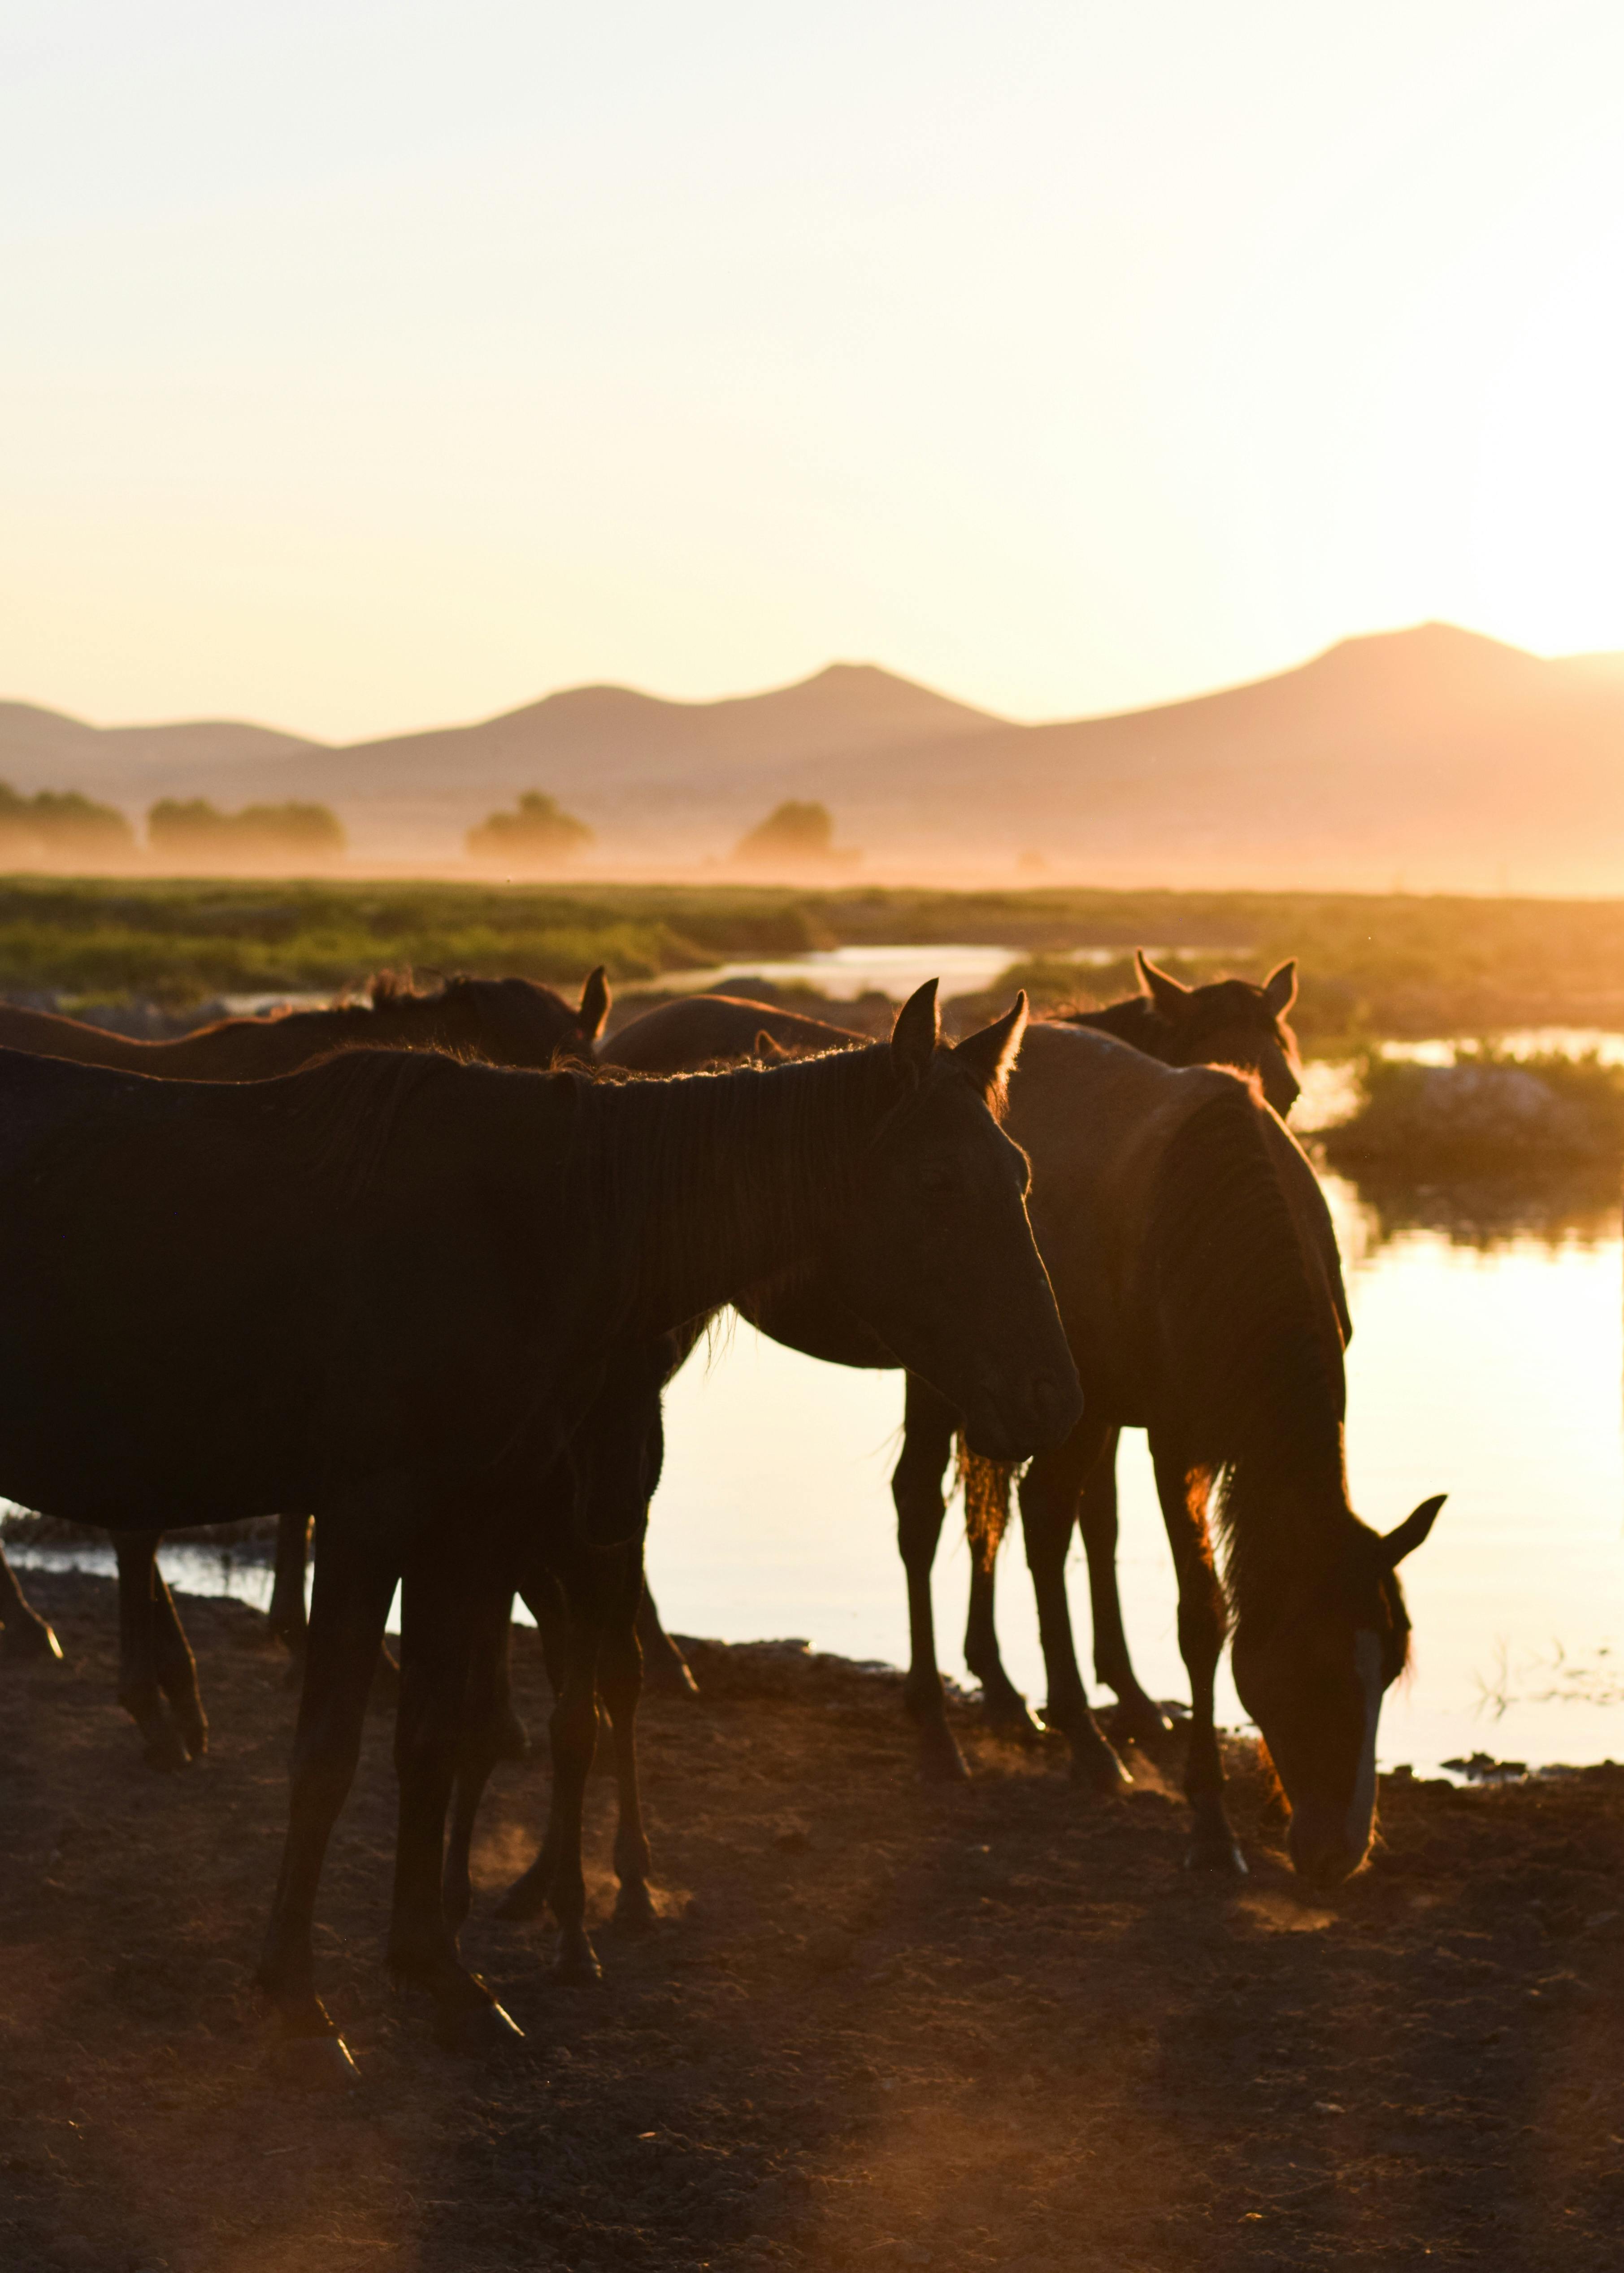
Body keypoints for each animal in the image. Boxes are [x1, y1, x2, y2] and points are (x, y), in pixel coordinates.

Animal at [605, 993, 1443, 1886]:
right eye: (1309, 1673)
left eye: (1389, 1667)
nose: (1336, 1853)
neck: (1197, 1213)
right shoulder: (1145, 1427)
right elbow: (1180, 1605)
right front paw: (1183, 1802)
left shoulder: (1098, 1413)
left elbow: (1073, 1531)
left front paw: (1092, 1704)